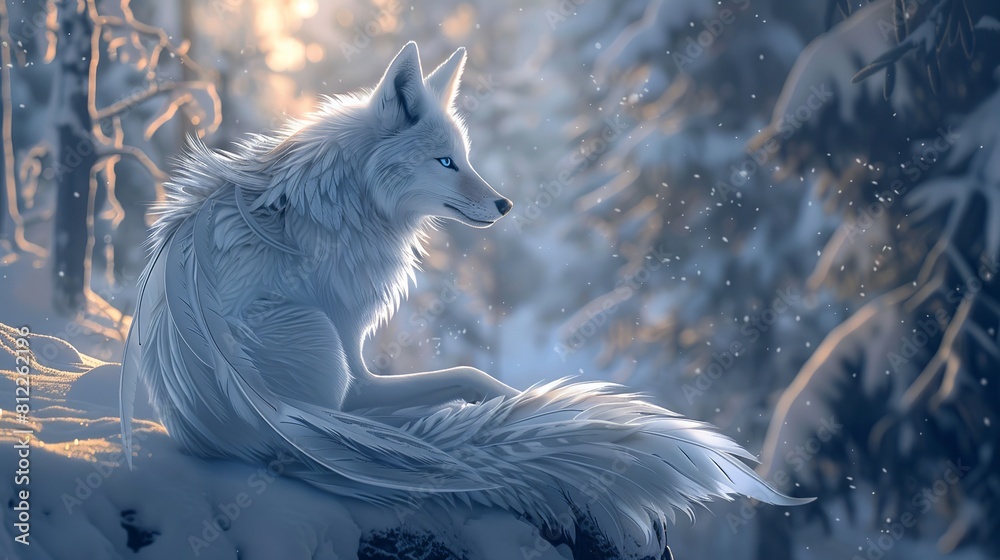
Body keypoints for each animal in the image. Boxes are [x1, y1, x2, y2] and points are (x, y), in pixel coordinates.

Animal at [119, 42, 810, 557]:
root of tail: (224, 436)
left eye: (465, 156)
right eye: (446, 161)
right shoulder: (353, 354)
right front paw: (511, 408)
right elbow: (468, 375)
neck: (343, 200)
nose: (504, 204)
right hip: (319, 348)